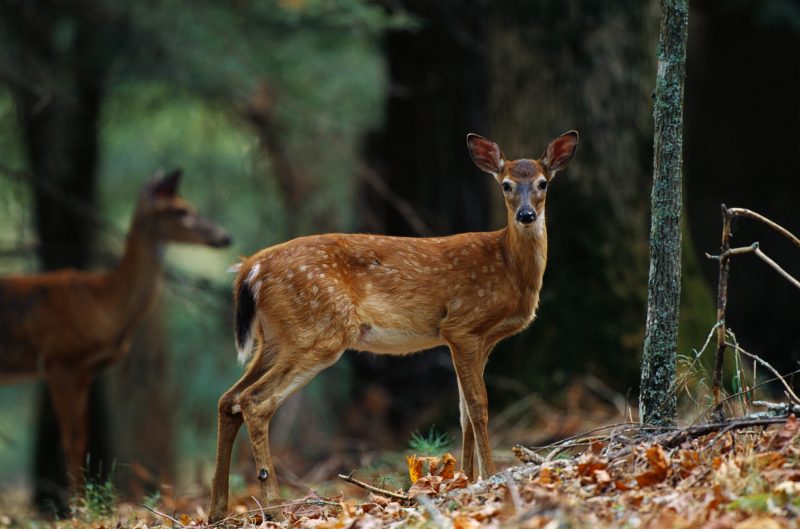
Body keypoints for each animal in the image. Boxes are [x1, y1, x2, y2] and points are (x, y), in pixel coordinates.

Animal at [0, 170, 231, 492]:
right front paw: (78, 502)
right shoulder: (60, 362)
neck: (103, 303)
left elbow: (83, 439)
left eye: (190, 206)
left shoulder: (84, 373)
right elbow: (71, 441)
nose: (224, 236)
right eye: (180, 211)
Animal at [208, 131, 578, 522]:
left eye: (542, 183)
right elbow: (478, 406)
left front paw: (464, 479)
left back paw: (218, 510)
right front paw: (489, 476)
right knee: (254, 401)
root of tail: (250, 269)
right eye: (506, 184)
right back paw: (274, 505)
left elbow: (463, 413)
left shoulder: (480, 340)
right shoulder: (462, 327)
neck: (509, 268)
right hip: (319, 330)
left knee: (228, 399)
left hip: (276, 338)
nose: (526, 214)